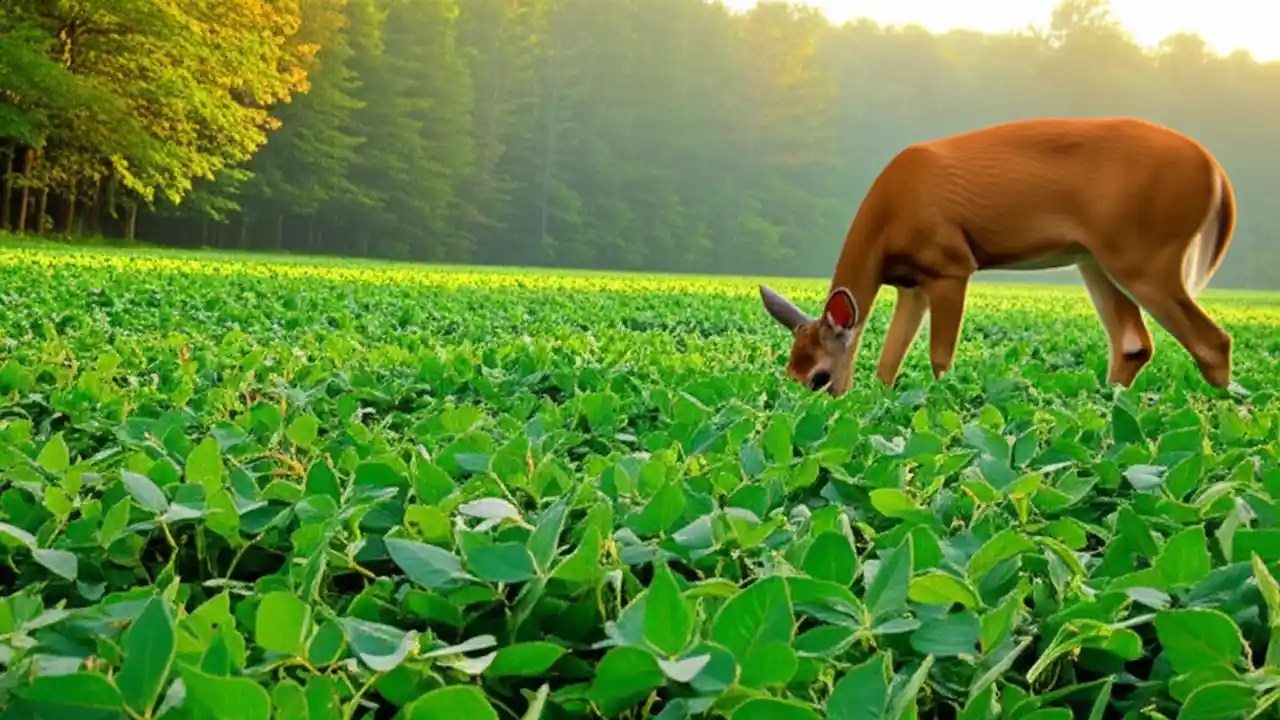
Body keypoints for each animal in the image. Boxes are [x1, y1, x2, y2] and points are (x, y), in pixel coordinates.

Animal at [759, 117, 1236, 397]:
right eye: (789, 372)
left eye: (818, 378)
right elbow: (888, 360)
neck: (888, 219)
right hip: (1098, 257)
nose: (816, 405)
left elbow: (939, 355)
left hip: (1144, 251)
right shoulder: (911, 283)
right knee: (1133, 343)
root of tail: (1217, 172)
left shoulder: (950, 261)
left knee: (1211, 340)